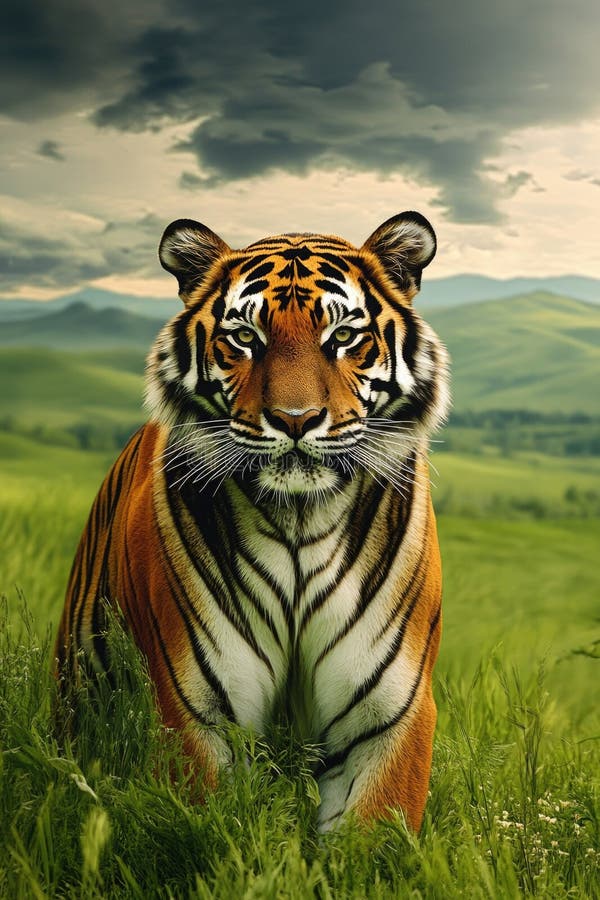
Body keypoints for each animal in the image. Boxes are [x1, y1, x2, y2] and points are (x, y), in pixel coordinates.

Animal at [55, 211, 450, 832]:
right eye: (245, 337)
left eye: (343, 337)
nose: (295, 419)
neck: (301, 519)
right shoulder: (200, 708)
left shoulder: (388, 713)